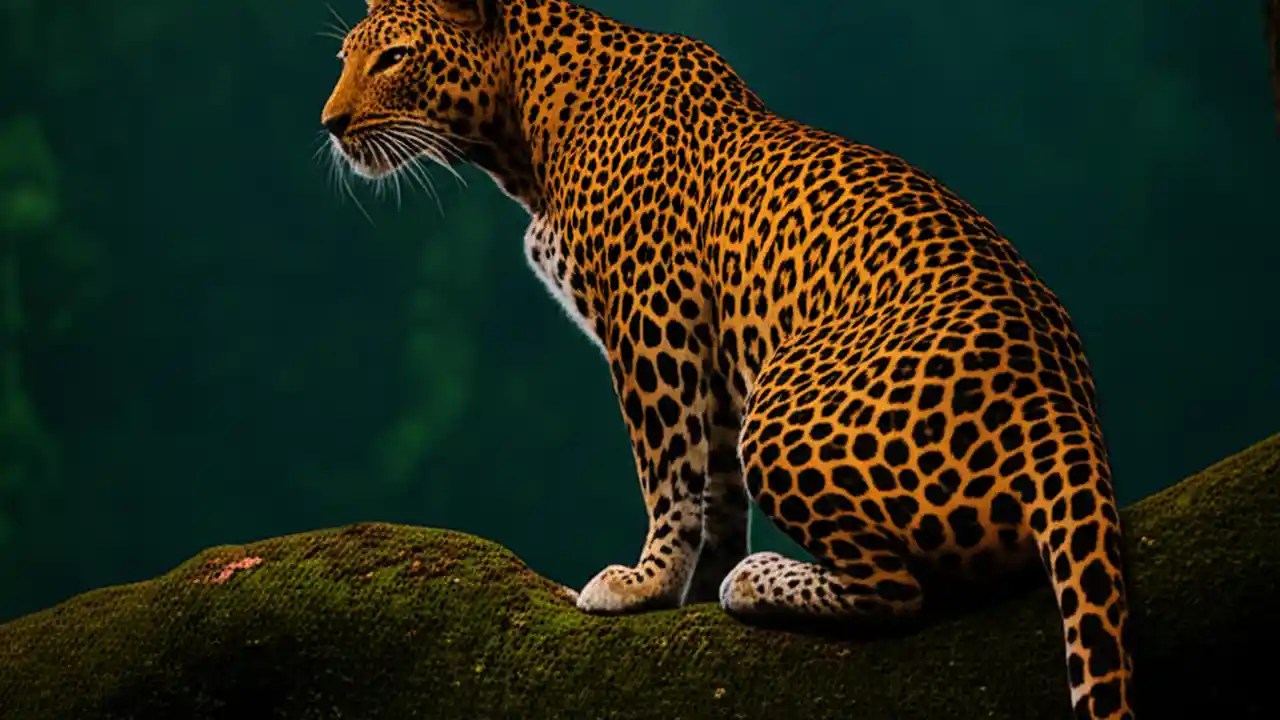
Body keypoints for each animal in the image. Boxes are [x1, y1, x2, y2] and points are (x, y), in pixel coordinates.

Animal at [320, 1, 1136, 717]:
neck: (523, 136)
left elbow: (666, 469)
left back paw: (757, 580)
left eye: (393, 57)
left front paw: (645, 584)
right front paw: (690, 582)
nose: (331, 123)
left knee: (904, 590)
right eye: (344, 59)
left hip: (781, 412)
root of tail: (1060, 408)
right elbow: (712, 482)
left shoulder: (652, 320)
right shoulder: (708, 352)